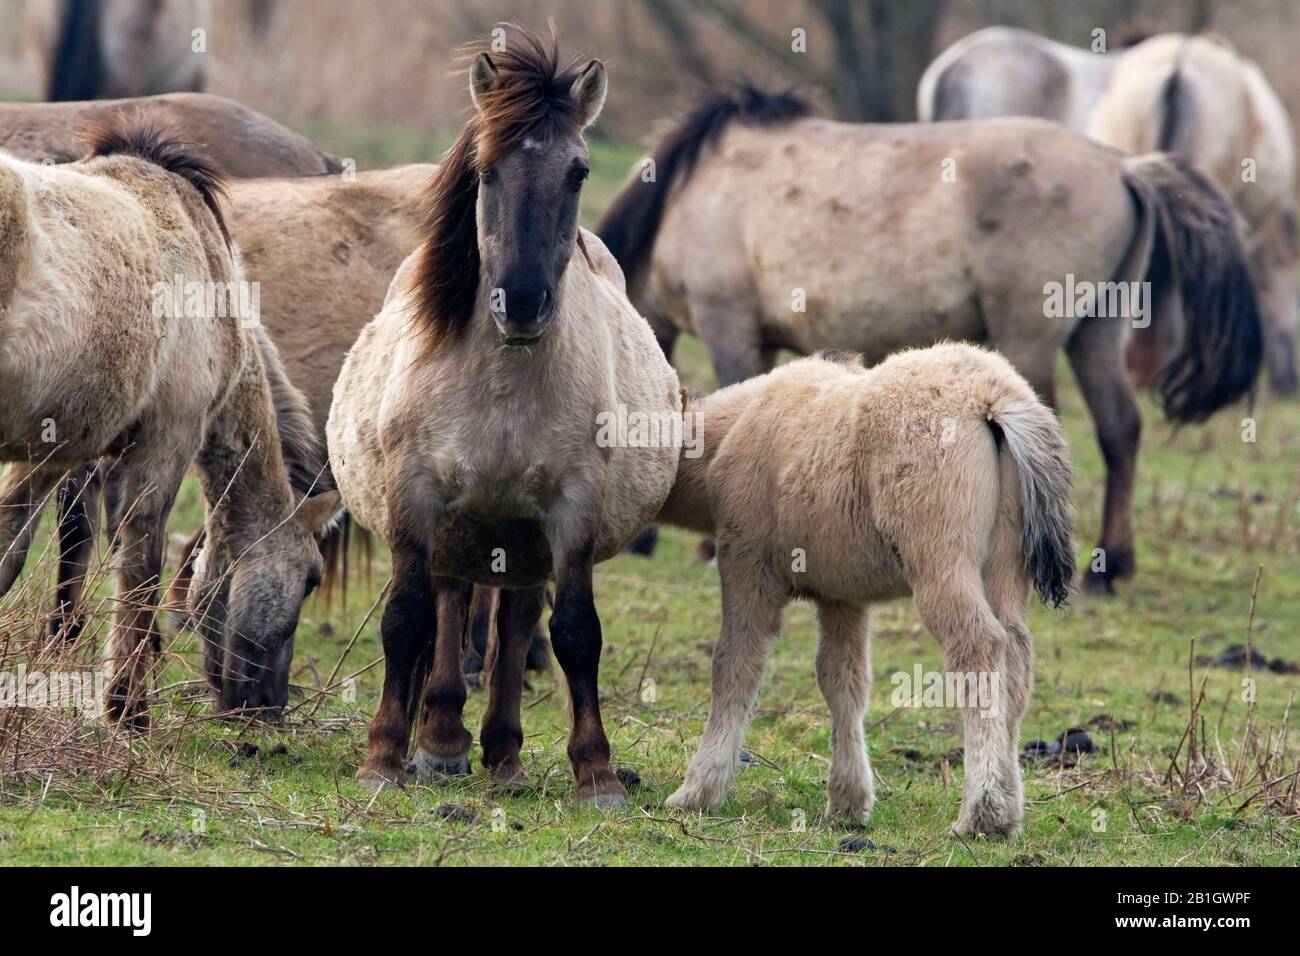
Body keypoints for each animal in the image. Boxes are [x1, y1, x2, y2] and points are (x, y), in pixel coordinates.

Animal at [0, 118, 338, 727]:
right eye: (310, 579)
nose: (268, 706)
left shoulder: (52, 452)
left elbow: (11, 545)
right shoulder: (168, 439)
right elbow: (140, 562)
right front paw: (127, 707)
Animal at [328, 31, 682, 803]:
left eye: (578, 173)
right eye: (486, 172)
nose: (520, 302)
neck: (502, 383)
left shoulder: (572, 509)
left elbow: (576, 631)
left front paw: (597, 771)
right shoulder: (414, 497)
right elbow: (407, 618)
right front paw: (383, 758)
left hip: (520, 535)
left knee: (516, 620)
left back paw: (503, 754)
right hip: (461, 526)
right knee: (452, 601)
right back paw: (441, 743)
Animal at [596, 86, 1261, 593]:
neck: (688, 194)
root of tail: (1123, 166)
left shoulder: (728, 326)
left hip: (1032, 336)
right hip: (1096, 335)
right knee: (1119, 429)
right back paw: (1111, 565)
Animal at [656, 345, 1073, 837]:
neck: (736, 425)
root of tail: (992, 394)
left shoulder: (746, 565)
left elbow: (734, 667)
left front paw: (698, 791)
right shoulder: (842, 594)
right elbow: (843, 680)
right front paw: (848, 803)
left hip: (941, 561)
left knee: (980, 648)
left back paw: (981, 813)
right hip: (1007, 565)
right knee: (1016, 656)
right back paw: (1007, 812)